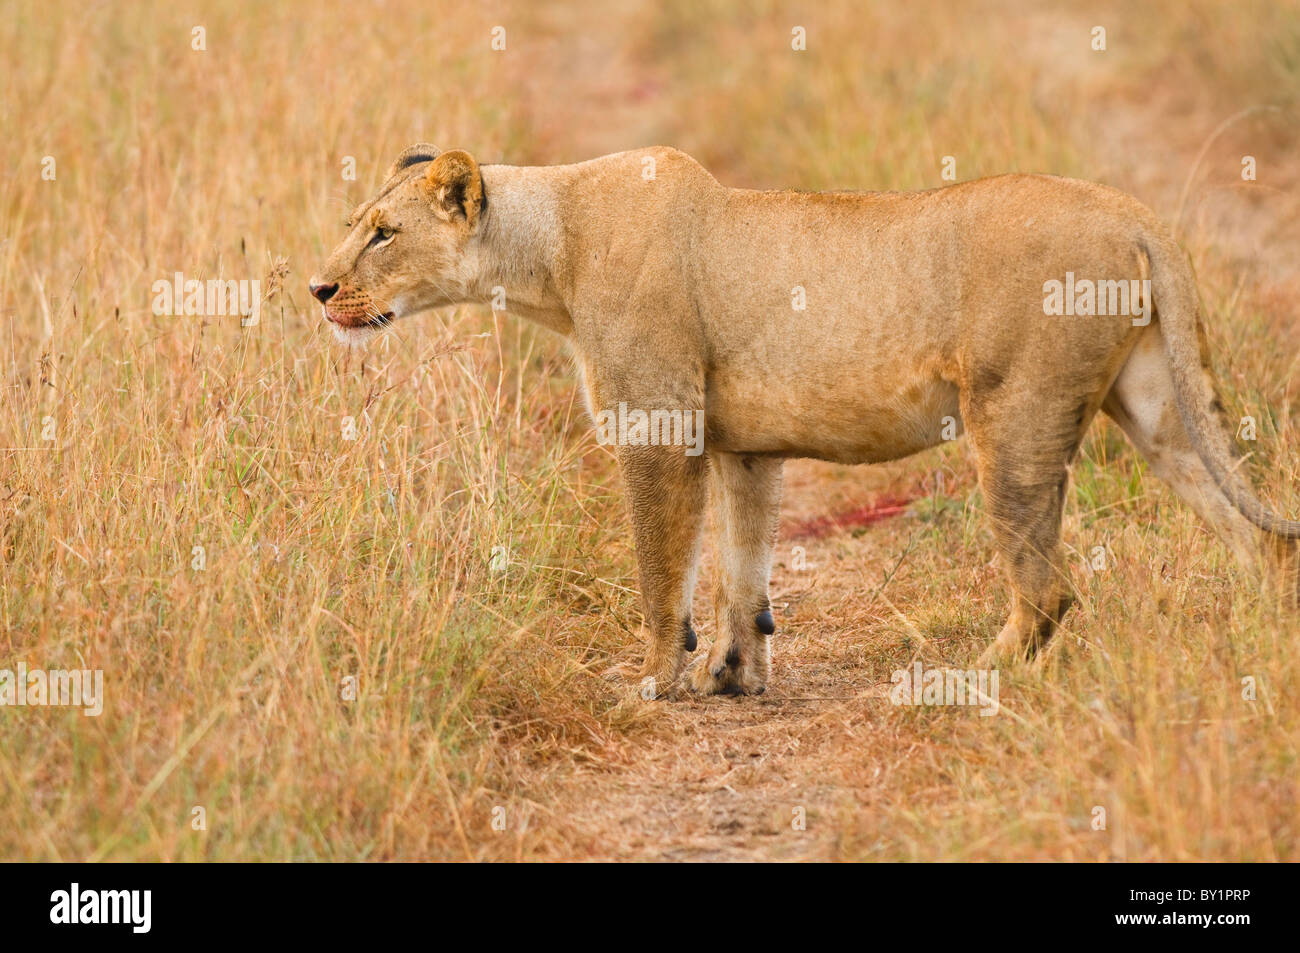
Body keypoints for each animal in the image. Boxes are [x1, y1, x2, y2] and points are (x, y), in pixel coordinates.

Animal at [310, 144, 1300, 696]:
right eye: (358, 222)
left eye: (384, 233)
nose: (319, 287)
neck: (549, 251)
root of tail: (1135, 212)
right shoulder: (746, 449)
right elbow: (743, 569)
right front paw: (732, 675)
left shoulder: (658, 424)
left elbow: (663, 571)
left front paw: (653, 683)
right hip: (1158, 411)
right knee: (1250, 533)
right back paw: (1258, 644)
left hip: (1014, 419)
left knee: (1048, 591)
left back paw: (961, 680)